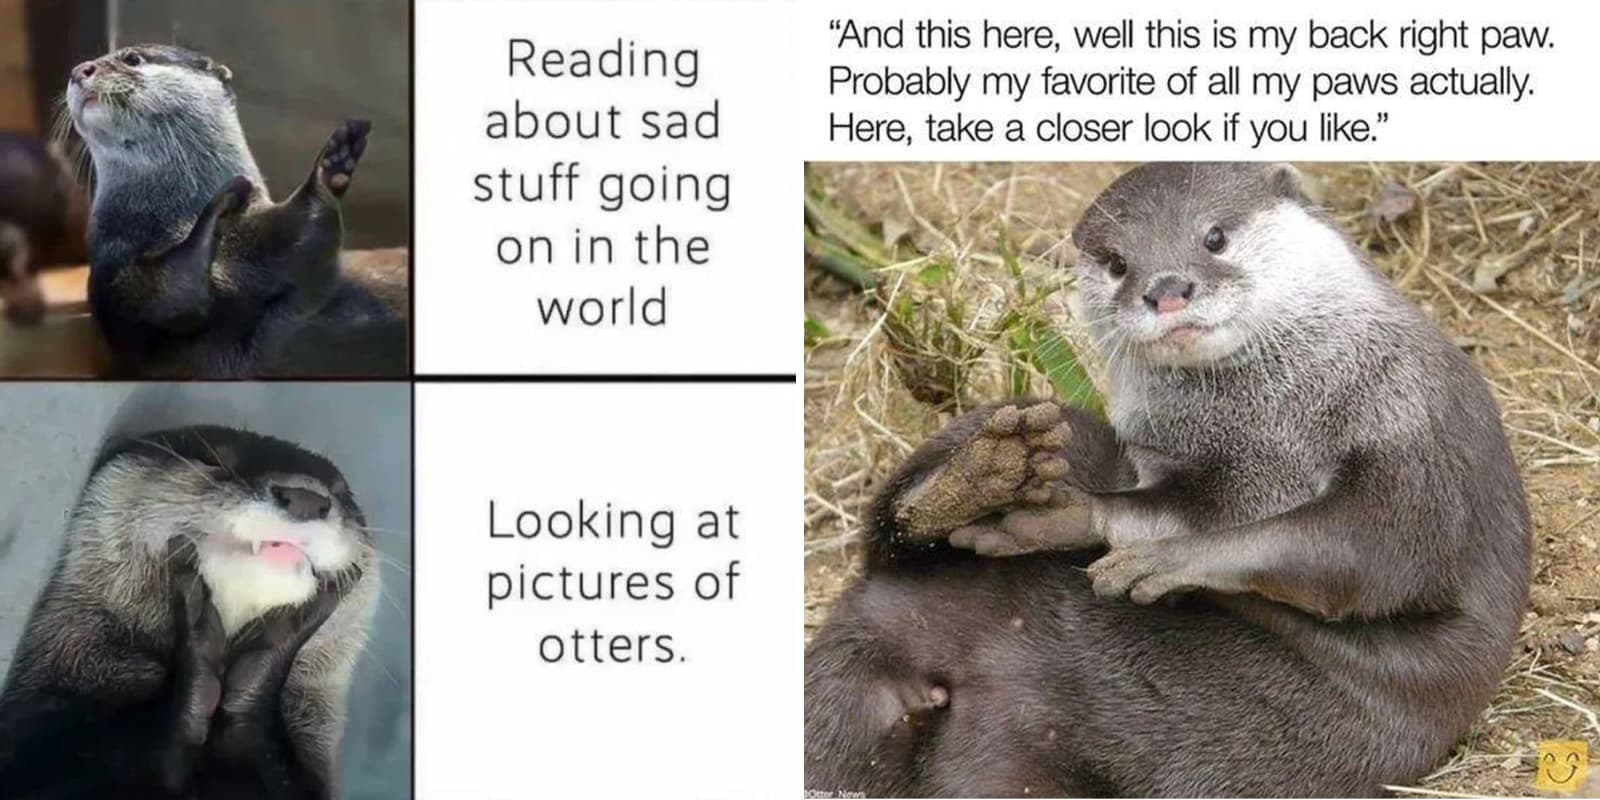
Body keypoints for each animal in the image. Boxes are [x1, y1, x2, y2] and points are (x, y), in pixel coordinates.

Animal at [65, 44, 402, 378]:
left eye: (132, 58)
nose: (79, 69)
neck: (174, 218)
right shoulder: (114, 273)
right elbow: (160, 298)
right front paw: (222, 204)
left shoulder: (282, 240)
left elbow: (310, 237)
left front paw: (335, 161)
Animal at [805, 163, 1531, 797]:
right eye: (1117, 263)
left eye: (1214, 236)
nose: (1167, 288)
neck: (1273, 420)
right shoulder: (1176, 459)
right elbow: (1174, 500)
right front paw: (1067, 515)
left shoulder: (1420, 427)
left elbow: (1378, 547)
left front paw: (1155, 555)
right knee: (889, 531)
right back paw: (980, 476)